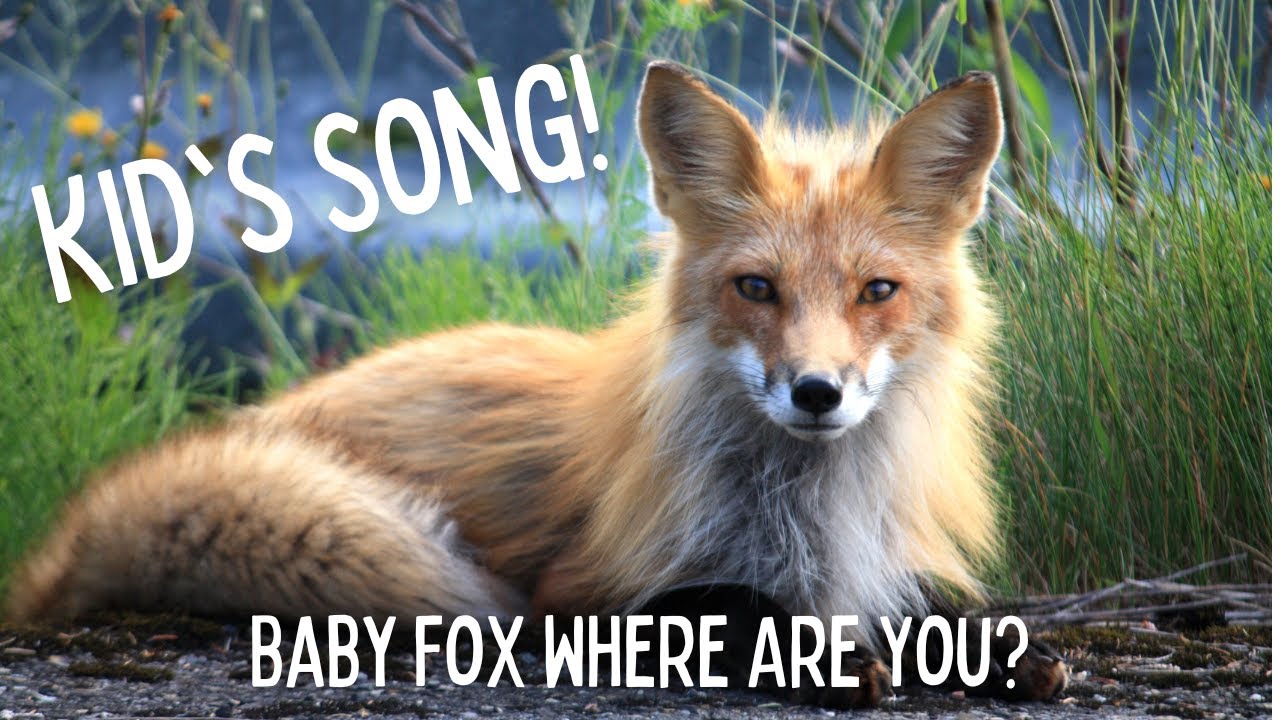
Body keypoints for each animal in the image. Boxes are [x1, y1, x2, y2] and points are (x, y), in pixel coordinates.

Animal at [7, 62, 1066, 707]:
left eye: (876, 292)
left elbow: (946, 614)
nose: (816, 392)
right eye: (757, 289)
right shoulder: (588, 592)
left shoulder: (883, 562)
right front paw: (823, 660)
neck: (803, 511)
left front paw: (1004, 652)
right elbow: (733, 611)